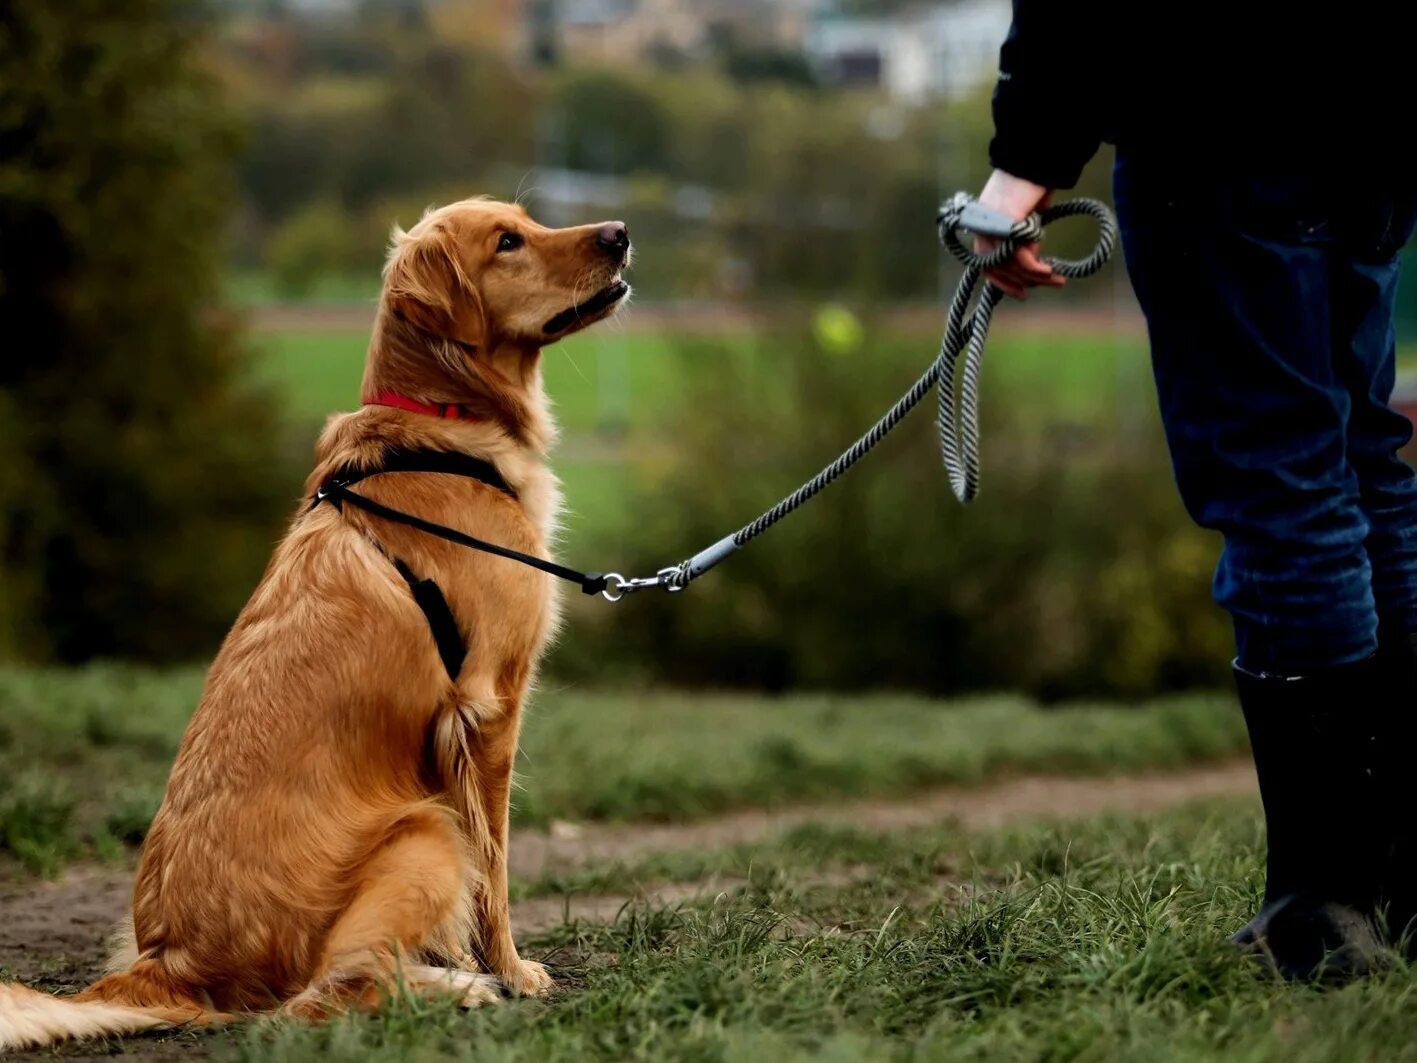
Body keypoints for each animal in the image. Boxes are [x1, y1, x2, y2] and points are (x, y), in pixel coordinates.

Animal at [0, 201, 631, 1060]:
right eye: (508, 242)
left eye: (530, 219)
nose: (620, 233)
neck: (438, 424)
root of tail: (166, 960)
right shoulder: (489, 709)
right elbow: (495, 869)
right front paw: (507, 966)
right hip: (422, 829)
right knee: (325, 995)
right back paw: (459, 989)